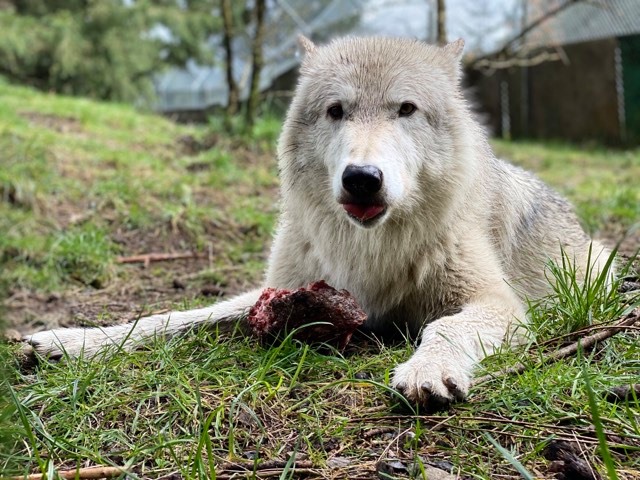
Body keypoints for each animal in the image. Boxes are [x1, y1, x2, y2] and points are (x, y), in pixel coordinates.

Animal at [26, 36, 612, 407]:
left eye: (406, 109)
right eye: (336, 111)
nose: (362, 178)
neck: (368, 249)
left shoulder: (498, 303)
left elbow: (444, 326)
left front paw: (426, 369)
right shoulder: (279, 289)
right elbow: (173, 317)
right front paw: (72, 340)